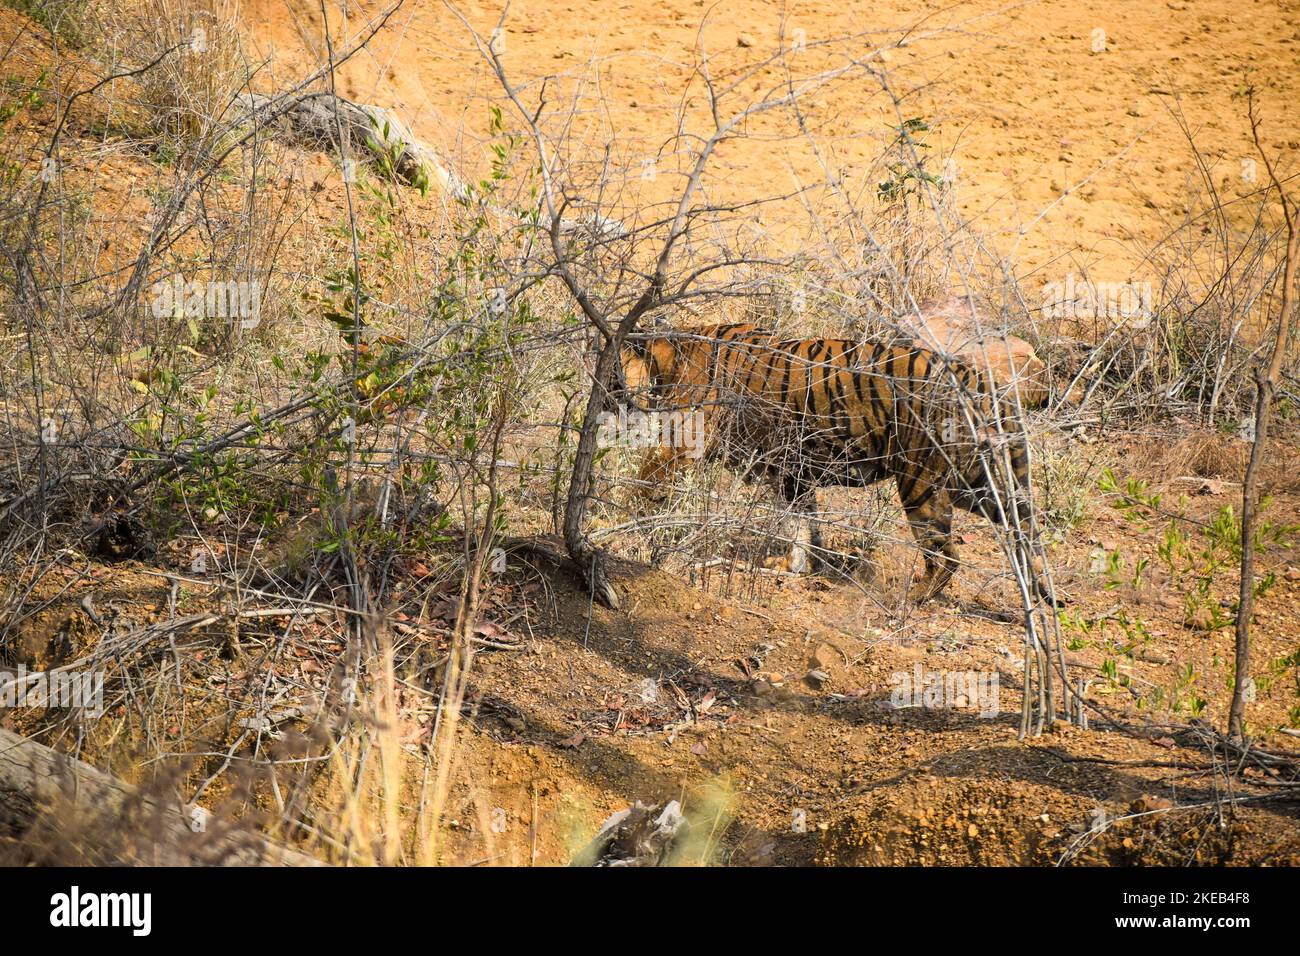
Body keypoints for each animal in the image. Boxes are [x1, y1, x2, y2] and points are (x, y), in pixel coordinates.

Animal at [619, 322, 1054, 604]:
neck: (666, 359)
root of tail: (979, 381)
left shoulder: (679, 446)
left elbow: (645, 485)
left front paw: (623, 528)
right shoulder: (790, 472)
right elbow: (802, 520)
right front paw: (796, 566)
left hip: (921, 483)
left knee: (946, 554)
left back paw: (910, 598)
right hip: (976, 482)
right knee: (1022, 530)